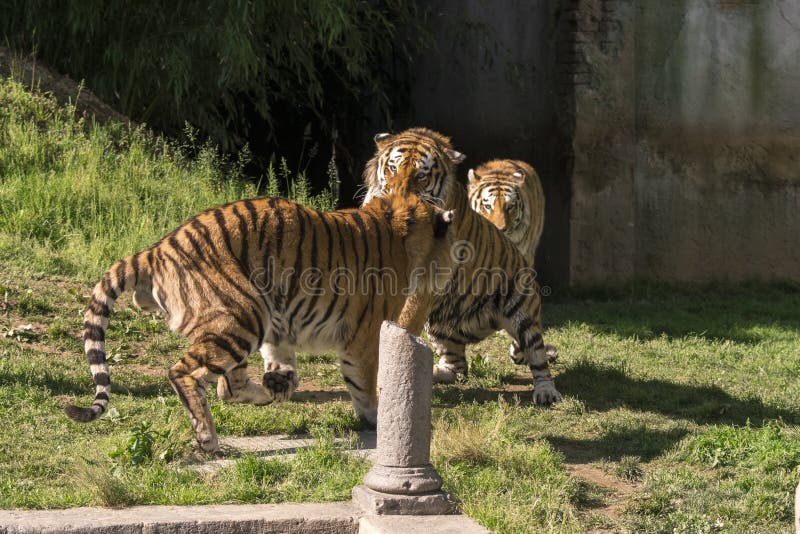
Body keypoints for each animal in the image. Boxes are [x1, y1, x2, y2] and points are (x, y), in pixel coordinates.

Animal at [65, 186, 455, 452]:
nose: (452, 269)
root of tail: (159, 248)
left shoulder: (281, 329)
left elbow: (283, 362)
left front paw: (281, 380)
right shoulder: (365, 335)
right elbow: (364, 383)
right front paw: (377, 418)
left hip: (244, 318)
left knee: (227, 385)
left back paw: (267, 392)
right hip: (243, 314)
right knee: (186, 374)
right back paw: (208, 437)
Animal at [361, 127, 561, 404]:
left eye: (421, 176)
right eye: (393, 168)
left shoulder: (424, 282)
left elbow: (401, 325)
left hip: (522, 311)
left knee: (537, 358)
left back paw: (546, 392)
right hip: (438, 326)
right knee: (457, 367)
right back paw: (433, 373)